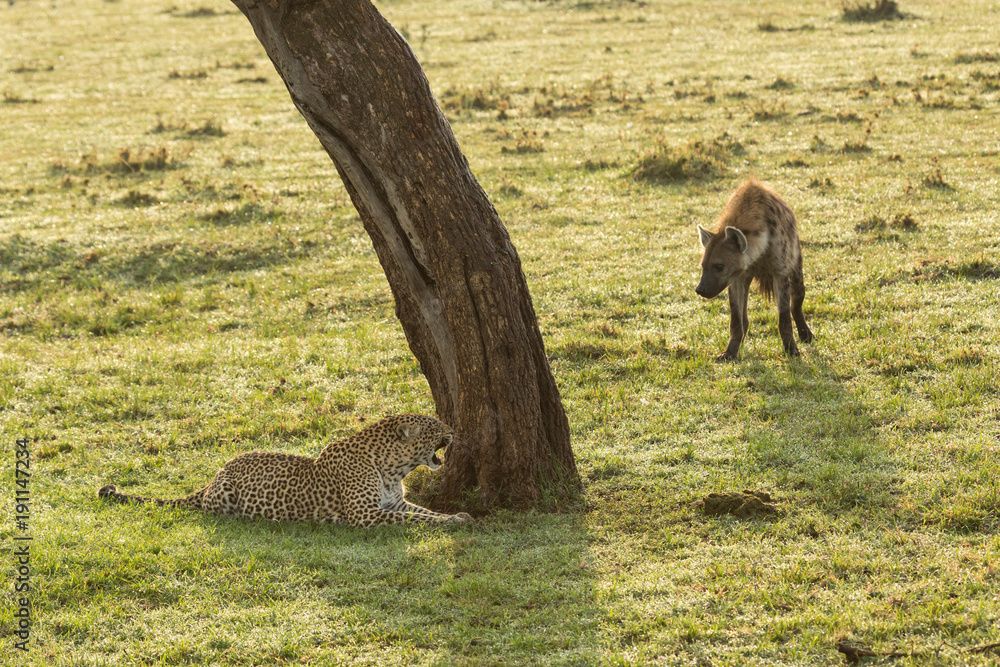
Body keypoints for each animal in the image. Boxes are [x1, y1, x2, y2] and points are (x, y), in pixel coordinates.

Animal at [98, 414, 472, 527]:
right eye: (435, 426)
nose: (454, 429)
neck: (394, 469)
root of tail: (214, 475)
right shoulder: (365, 515)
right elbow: (416, 519)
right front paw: (454, 522)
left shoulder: (394, 503)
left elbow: (422, 511)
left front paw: (457, 516)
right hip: (224, 496)